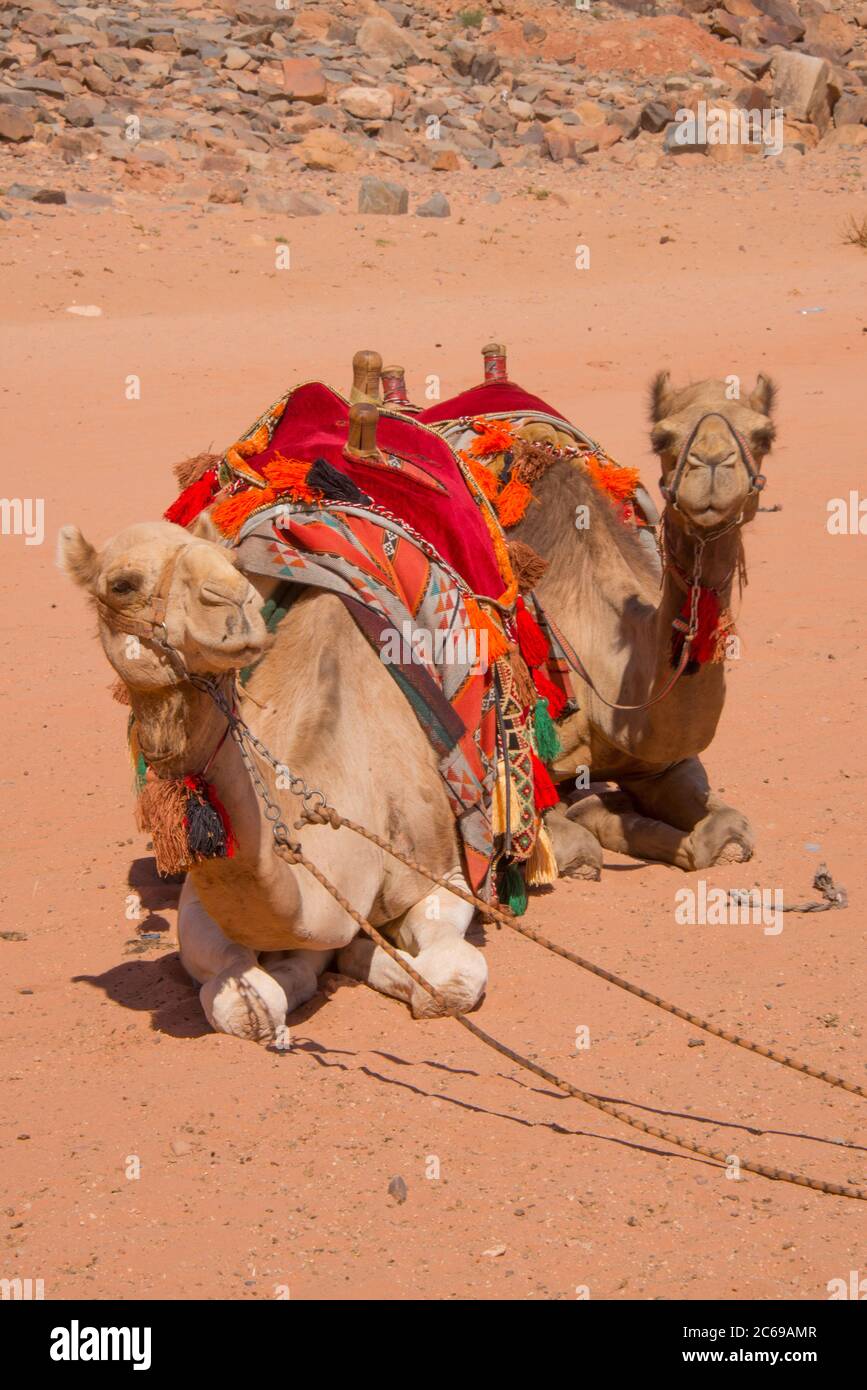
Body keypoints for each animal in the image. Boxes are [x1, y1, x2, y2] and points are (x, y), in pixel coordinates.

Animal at [58, 519, 488, 1045]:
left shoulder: (443, 869)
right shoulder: (203, 902)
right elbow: (249, 1004)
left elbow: (449, 982)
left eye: (233, 562)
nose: (232, 599)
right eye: (122, 584)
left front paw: (362, 952)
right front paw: (321, 961)